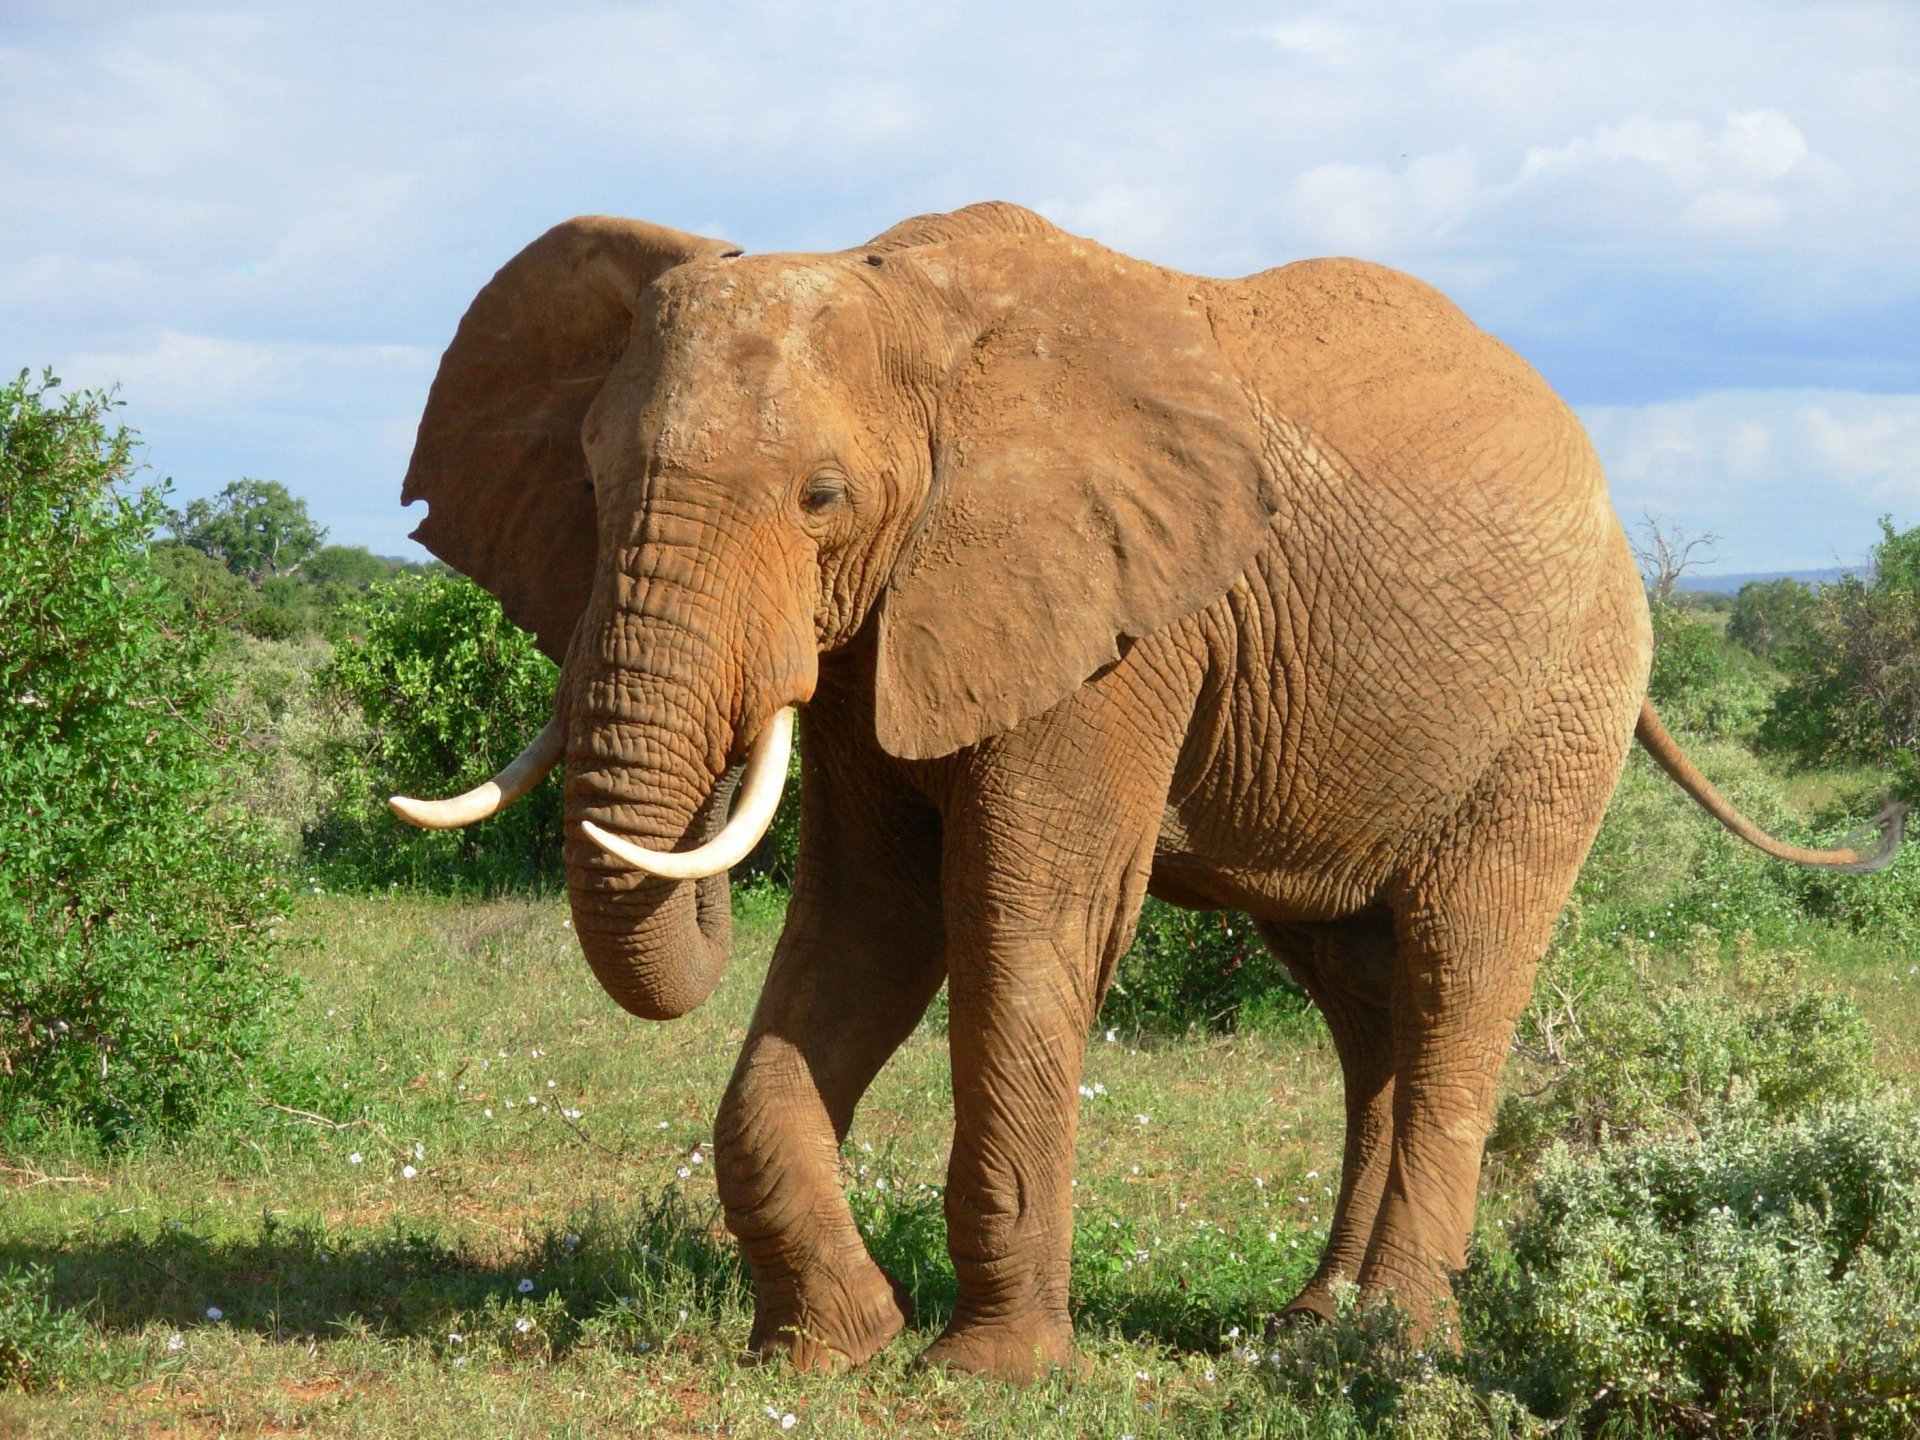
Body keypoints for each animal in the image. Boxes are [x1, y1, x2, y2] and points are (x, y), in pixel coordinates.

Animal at [389, 201, 1900, 1378]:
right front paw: (831, 1350)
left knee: (1460, 964)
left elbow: (1024, 916)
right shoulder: (909, 617)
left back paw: (1398, 1348)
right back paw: (1313, 1327)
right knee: (1364, 997)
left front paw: (986, 1373)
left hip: (1558, 701)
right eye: (590, 478)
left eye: (821, 497)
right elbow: (869, 919)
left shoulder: (1116, 628)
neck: (910, 301)